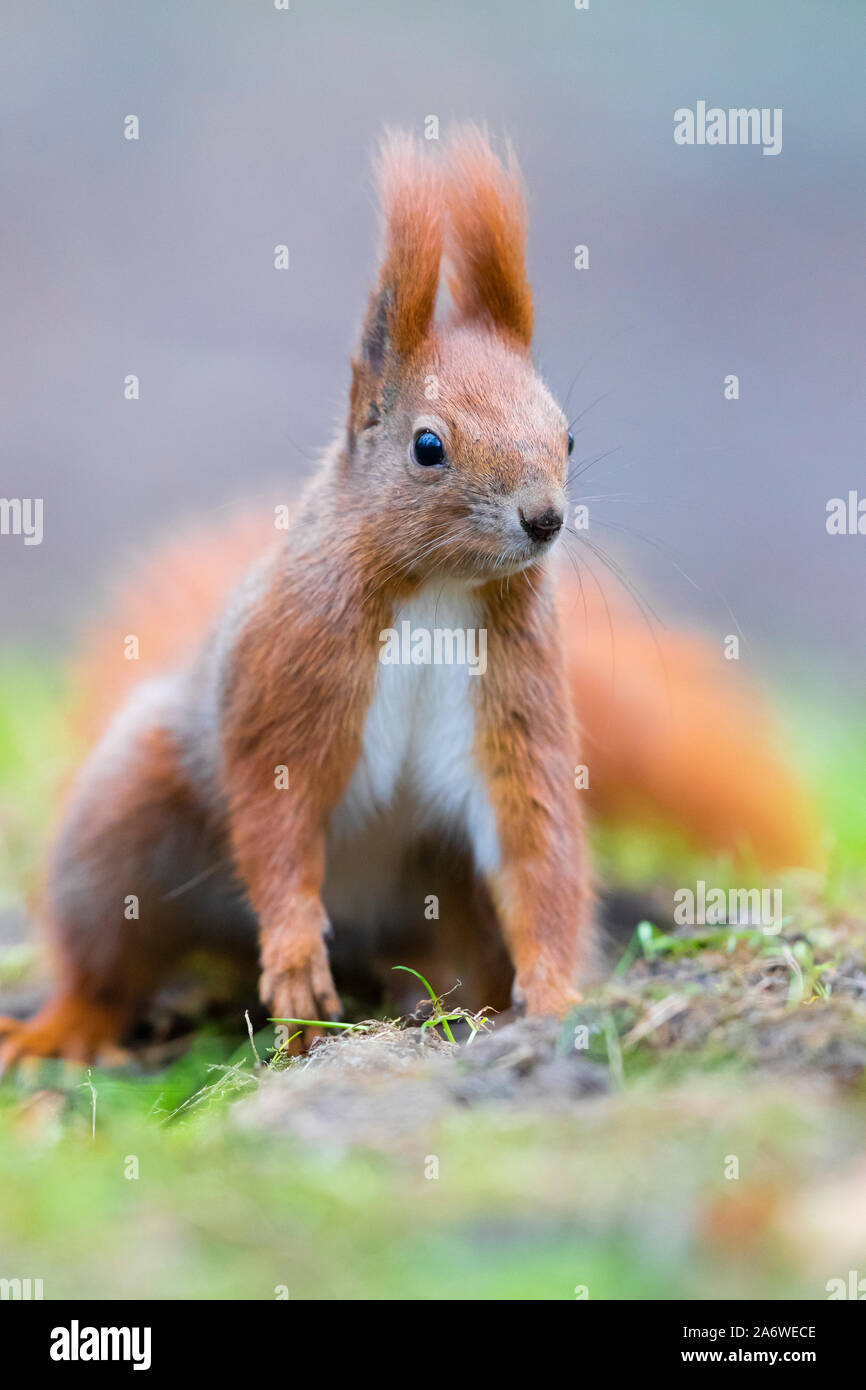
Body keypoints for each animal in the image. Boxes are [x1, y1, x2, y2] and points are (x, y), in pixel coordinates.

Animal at [0, 129, 818, 1066]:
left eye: (569, 436)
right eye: (428, 446)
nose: (546, 518)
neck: (437, 592)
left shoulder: (515, 703)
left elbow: (538, 844)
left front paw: (555, 994)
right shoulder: (290, 670)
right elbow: (274, 815)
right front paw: (292, 955)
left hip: (438, 888)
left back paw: (442, 1006)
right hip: (128, 821)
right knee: (107, 950)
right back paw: (72, 1026)